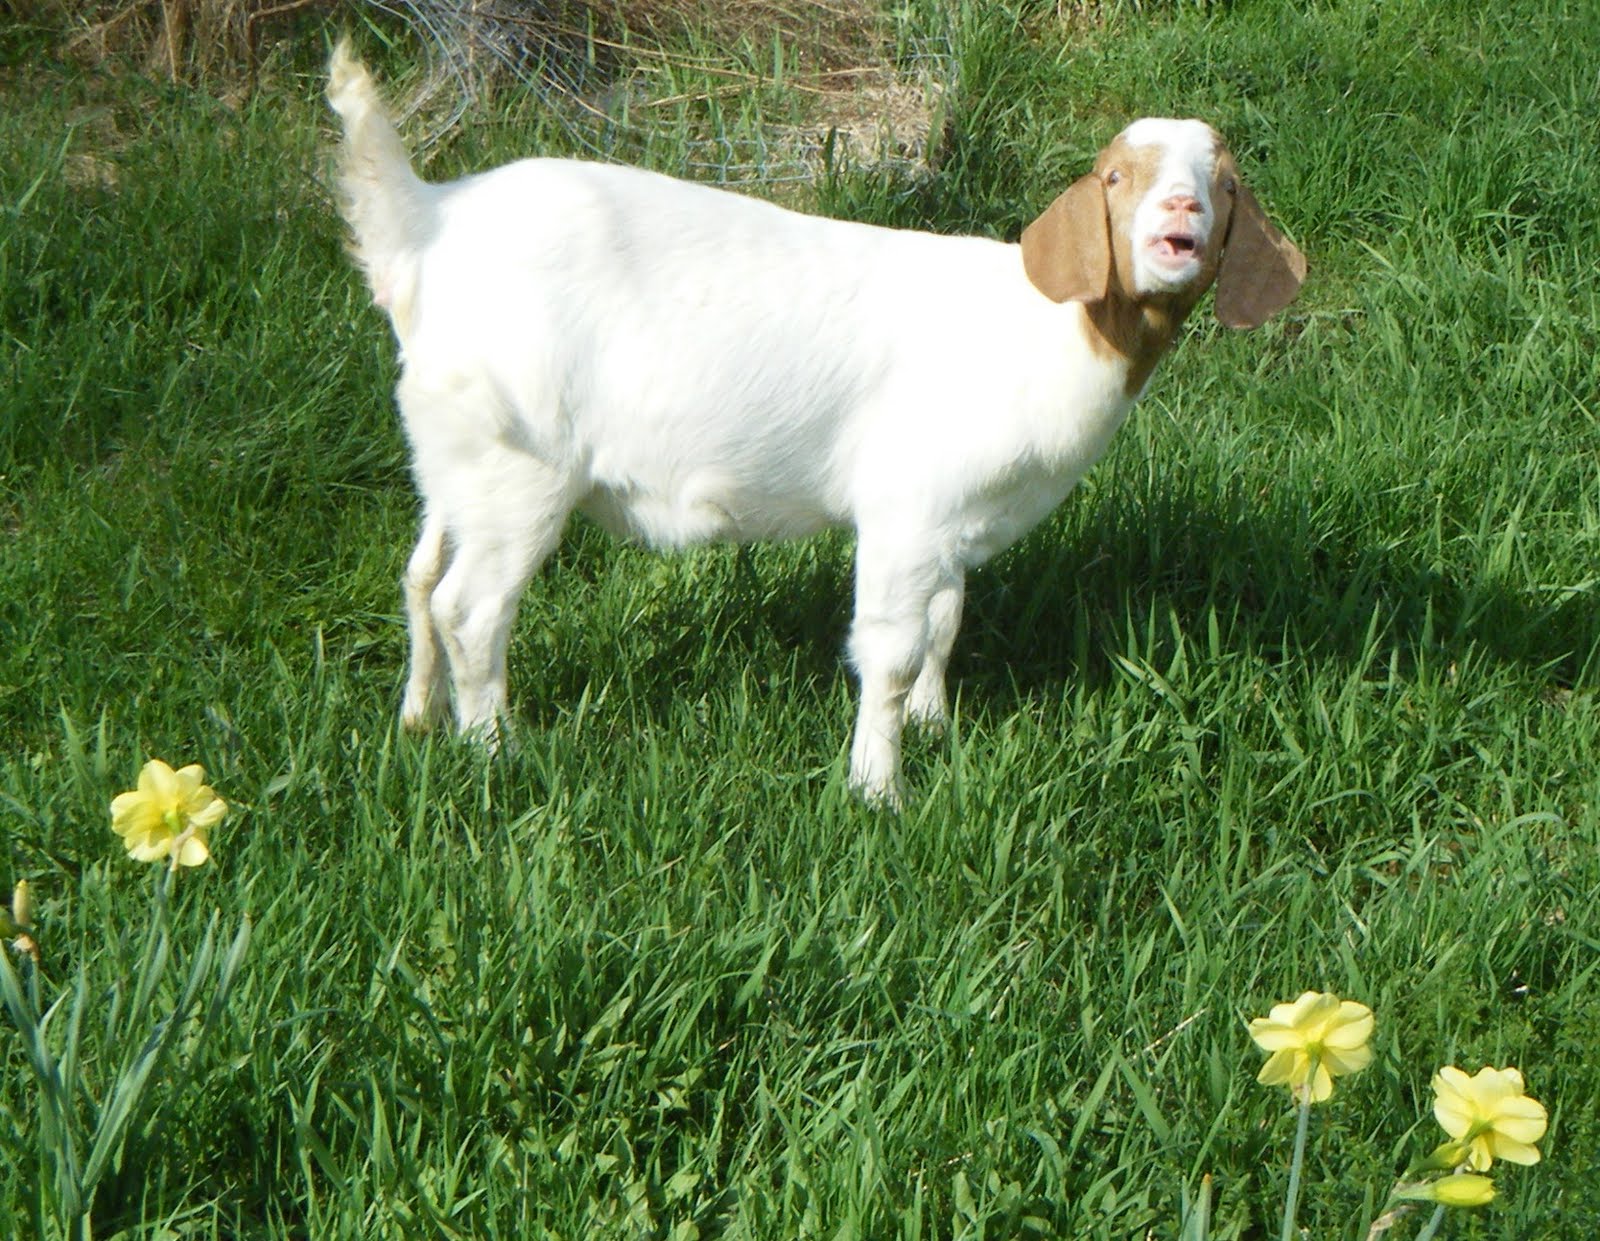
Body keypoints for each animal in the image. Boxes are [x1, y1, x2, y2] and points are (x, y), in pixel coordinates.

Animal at [327, 41, 1306, 804]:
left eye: (1223, 182)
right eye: (1115, 176)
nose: (1180, 213)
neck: (1046, 327)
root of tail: (425, 228)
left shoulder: (952, 522)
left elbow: (946, 621)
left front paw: (936, 726)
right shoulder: (908, 509)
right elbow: (892, 649)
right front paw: (879, 789)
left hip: (456, 453)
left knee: (421, 572)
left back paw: (418, 721)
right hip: (520, 463)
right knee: (470, 607)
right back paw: (497, 753)